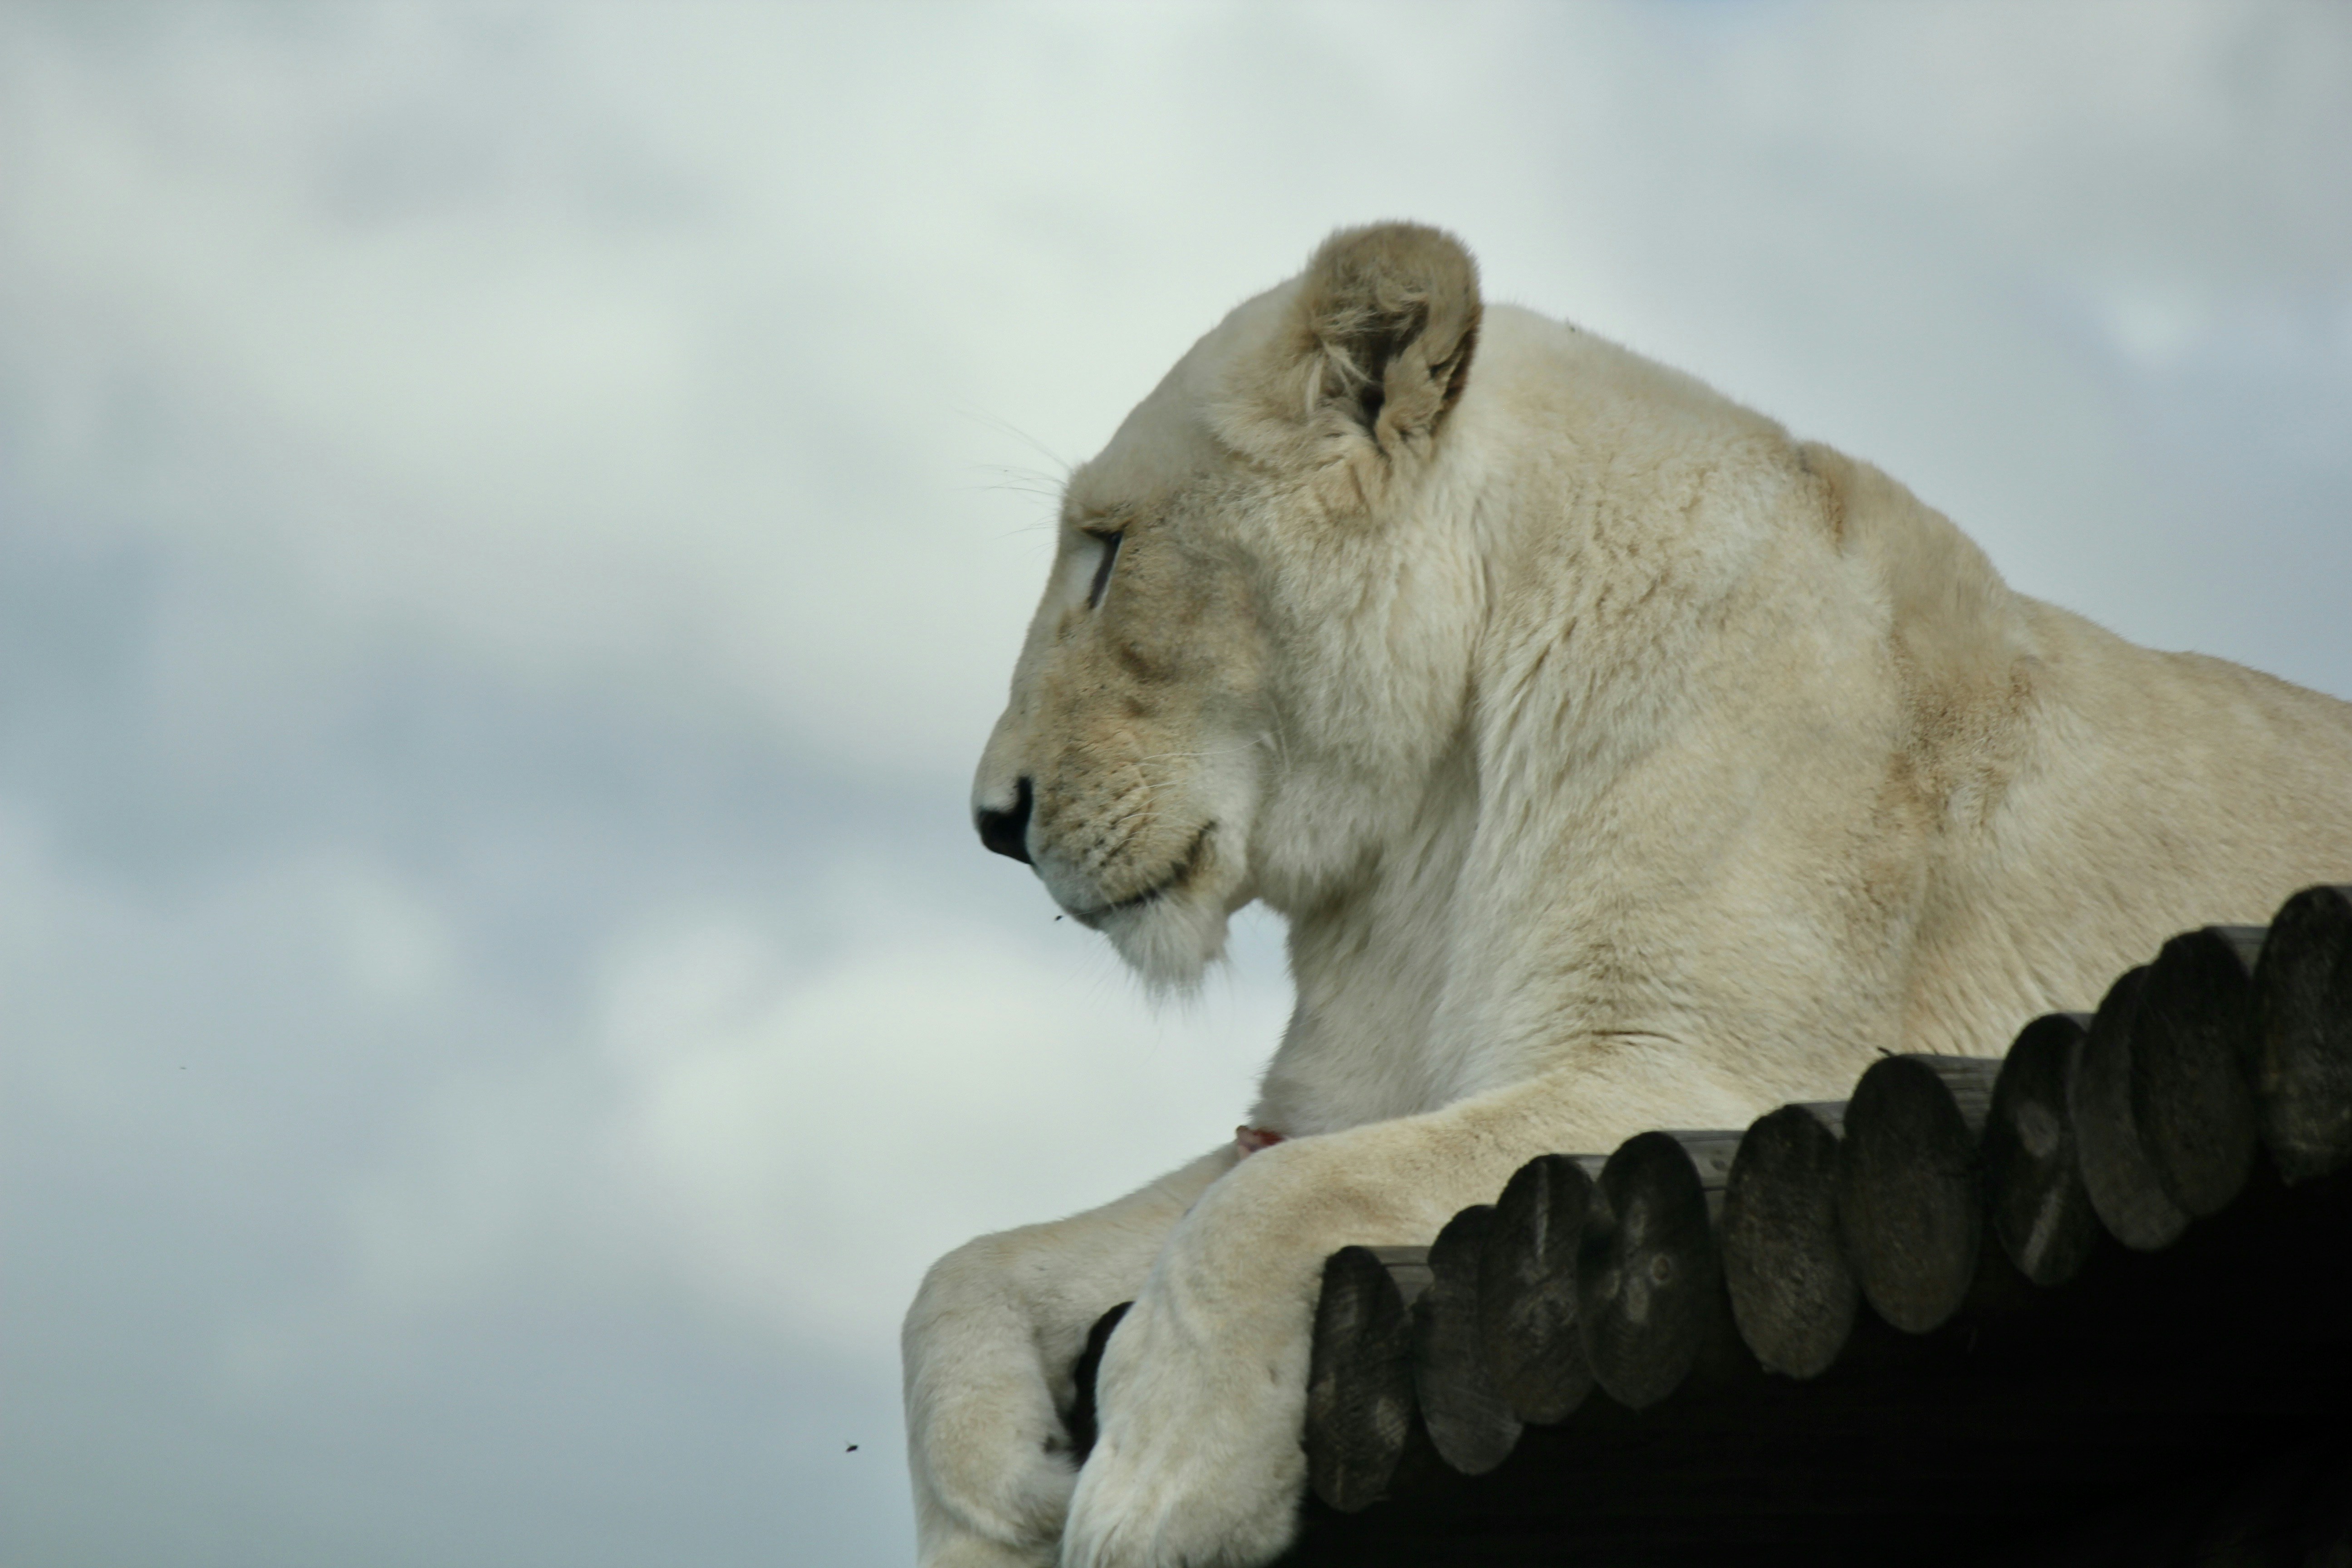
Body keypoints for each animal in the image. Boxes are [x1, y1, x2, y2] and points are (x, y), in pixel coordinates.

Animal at [901, 222, 2352, 1568]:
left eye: (1107, 552)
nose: (992, 819)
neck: (1431, 832)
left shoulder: (1710, 1073)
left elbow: (1269, 1207)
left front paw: (1153, 1498)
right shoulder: (1331, 1097)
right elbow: (968, 1268)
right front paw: (996, 1502)